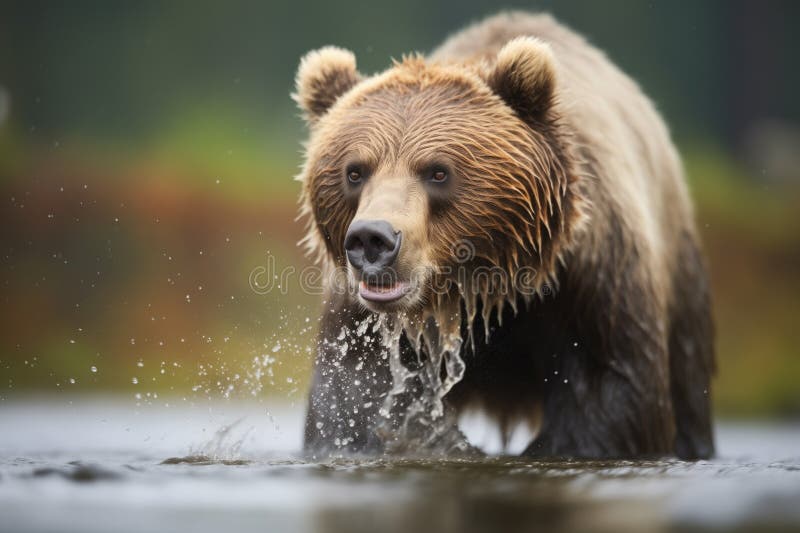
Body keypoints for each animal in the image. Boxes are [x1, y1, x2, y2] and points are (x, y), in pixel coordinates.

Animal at [293, 12, 715, 460]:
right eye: (355, 171)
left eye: (438, 171)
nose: (374, 239)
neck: (492, 287)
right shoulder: (358, 316)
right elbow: (355, 397)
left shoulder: (595, 277)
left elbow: (610, 390)